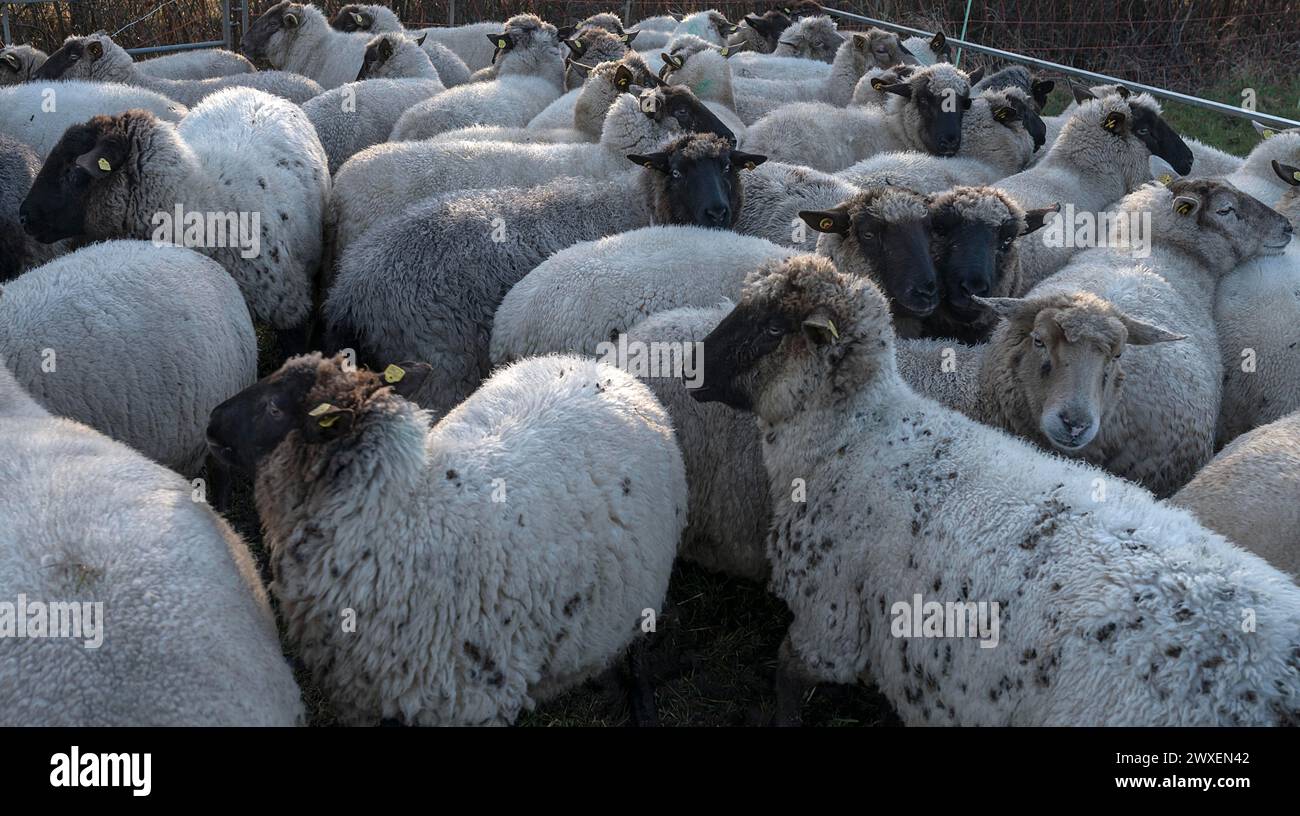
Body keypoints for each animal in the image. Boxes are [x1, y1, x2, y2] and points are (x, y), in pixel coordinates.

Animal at [206, 352, 685, 726]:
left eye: (273, 408)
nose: (211, 422)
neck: (402, 517)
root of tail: (601, 367)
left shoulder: (470, 700)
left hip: (643, 586)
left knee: (636, 650)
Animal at [324, 133, 767, 415]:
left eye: (727, 167)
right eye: (676, 172)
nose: (716, 212)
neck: (635, 204)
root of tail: (349, 288)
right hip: (438, 365)